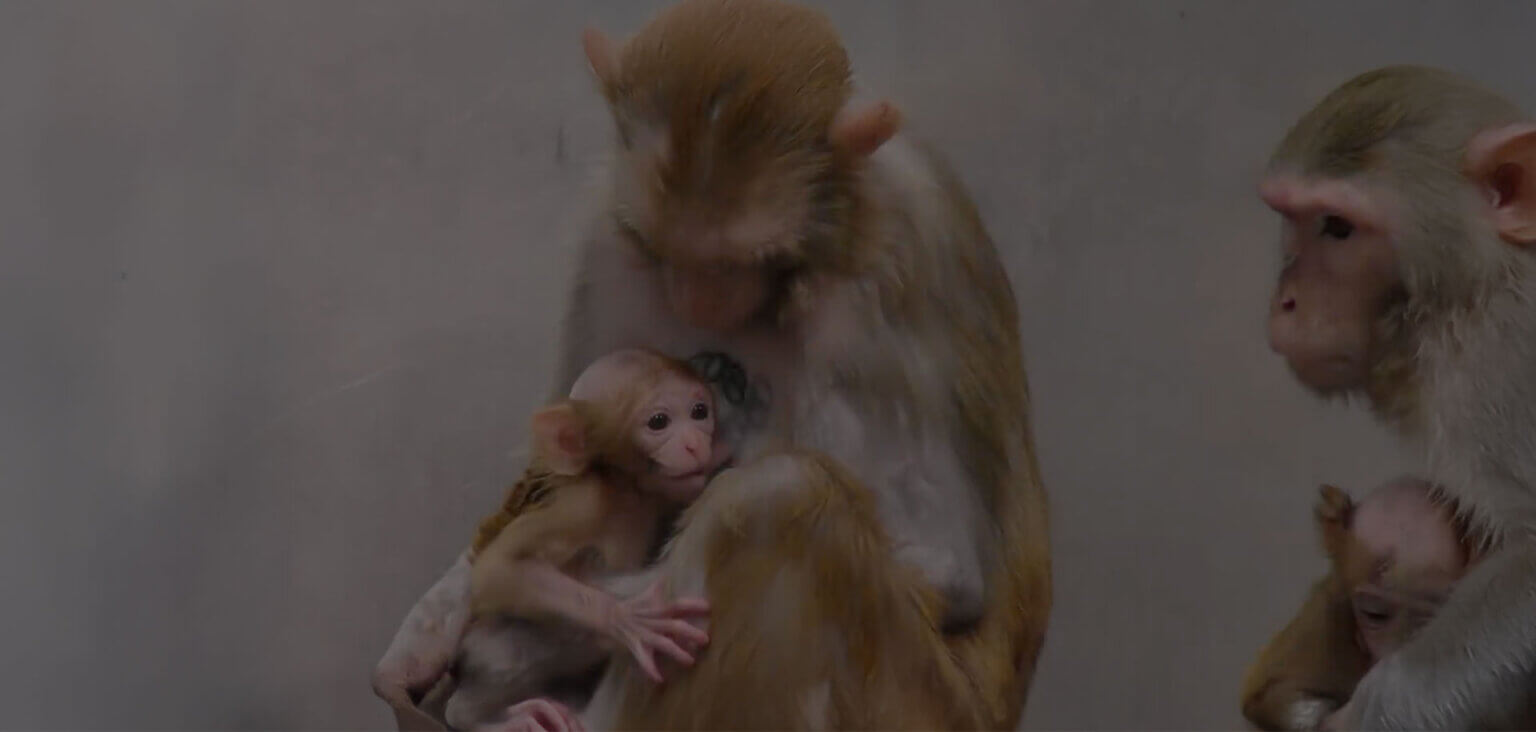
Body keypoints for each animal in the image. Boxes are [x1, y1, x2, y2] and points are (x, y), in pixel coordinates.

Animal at [440, 349, 723, 730]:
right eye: (659, 422)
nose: (695, 443)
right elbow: (496, 570)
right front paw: (621, 617)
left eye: (699, 411)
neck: (628, 489)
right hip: (489, 648)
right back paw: (485, 717)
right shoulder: (585, 502)